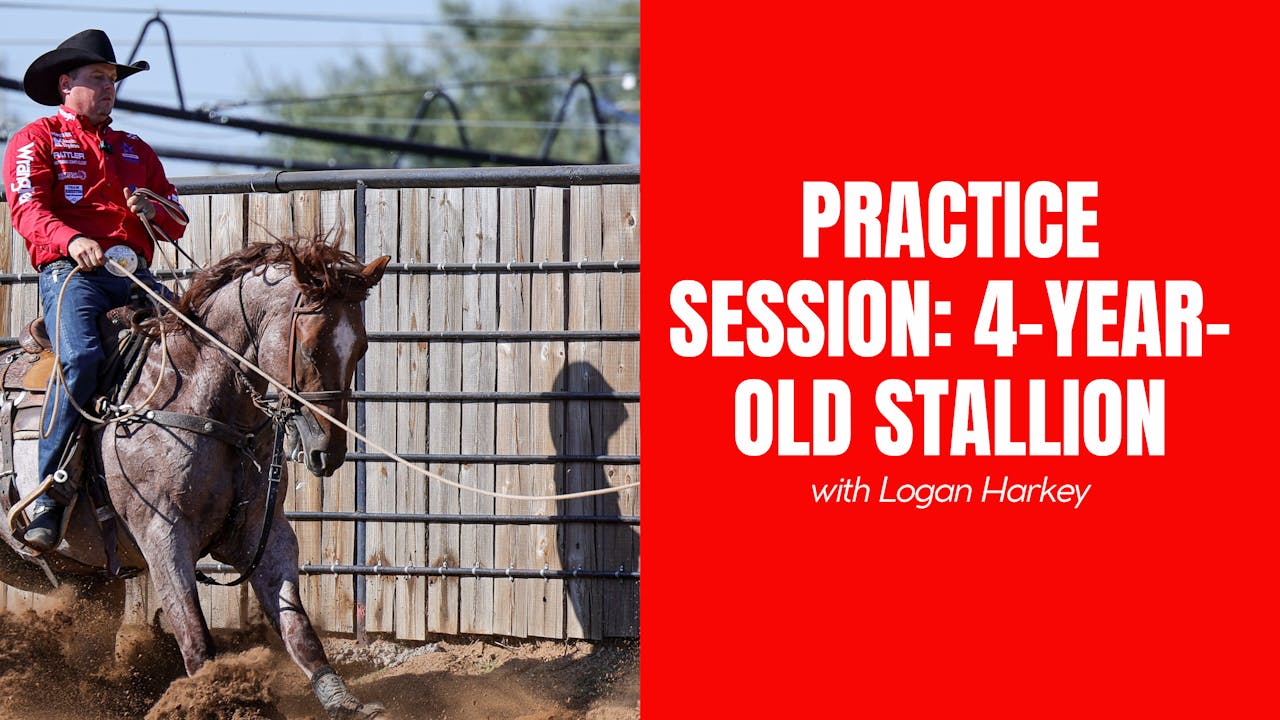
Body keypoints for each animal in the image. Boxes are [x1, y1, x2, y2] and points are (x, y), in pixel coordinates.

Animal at [0, 235, 390, 719]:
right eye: (311, 346)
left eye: (361, 348)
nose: (327, 451)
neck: (195, 399)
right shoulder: (163, 538)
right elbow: (195, 636)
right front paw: (216, 699)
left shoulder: (265, 535)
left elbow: (298, 628)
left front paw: (342, 701)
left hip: (83, 573)